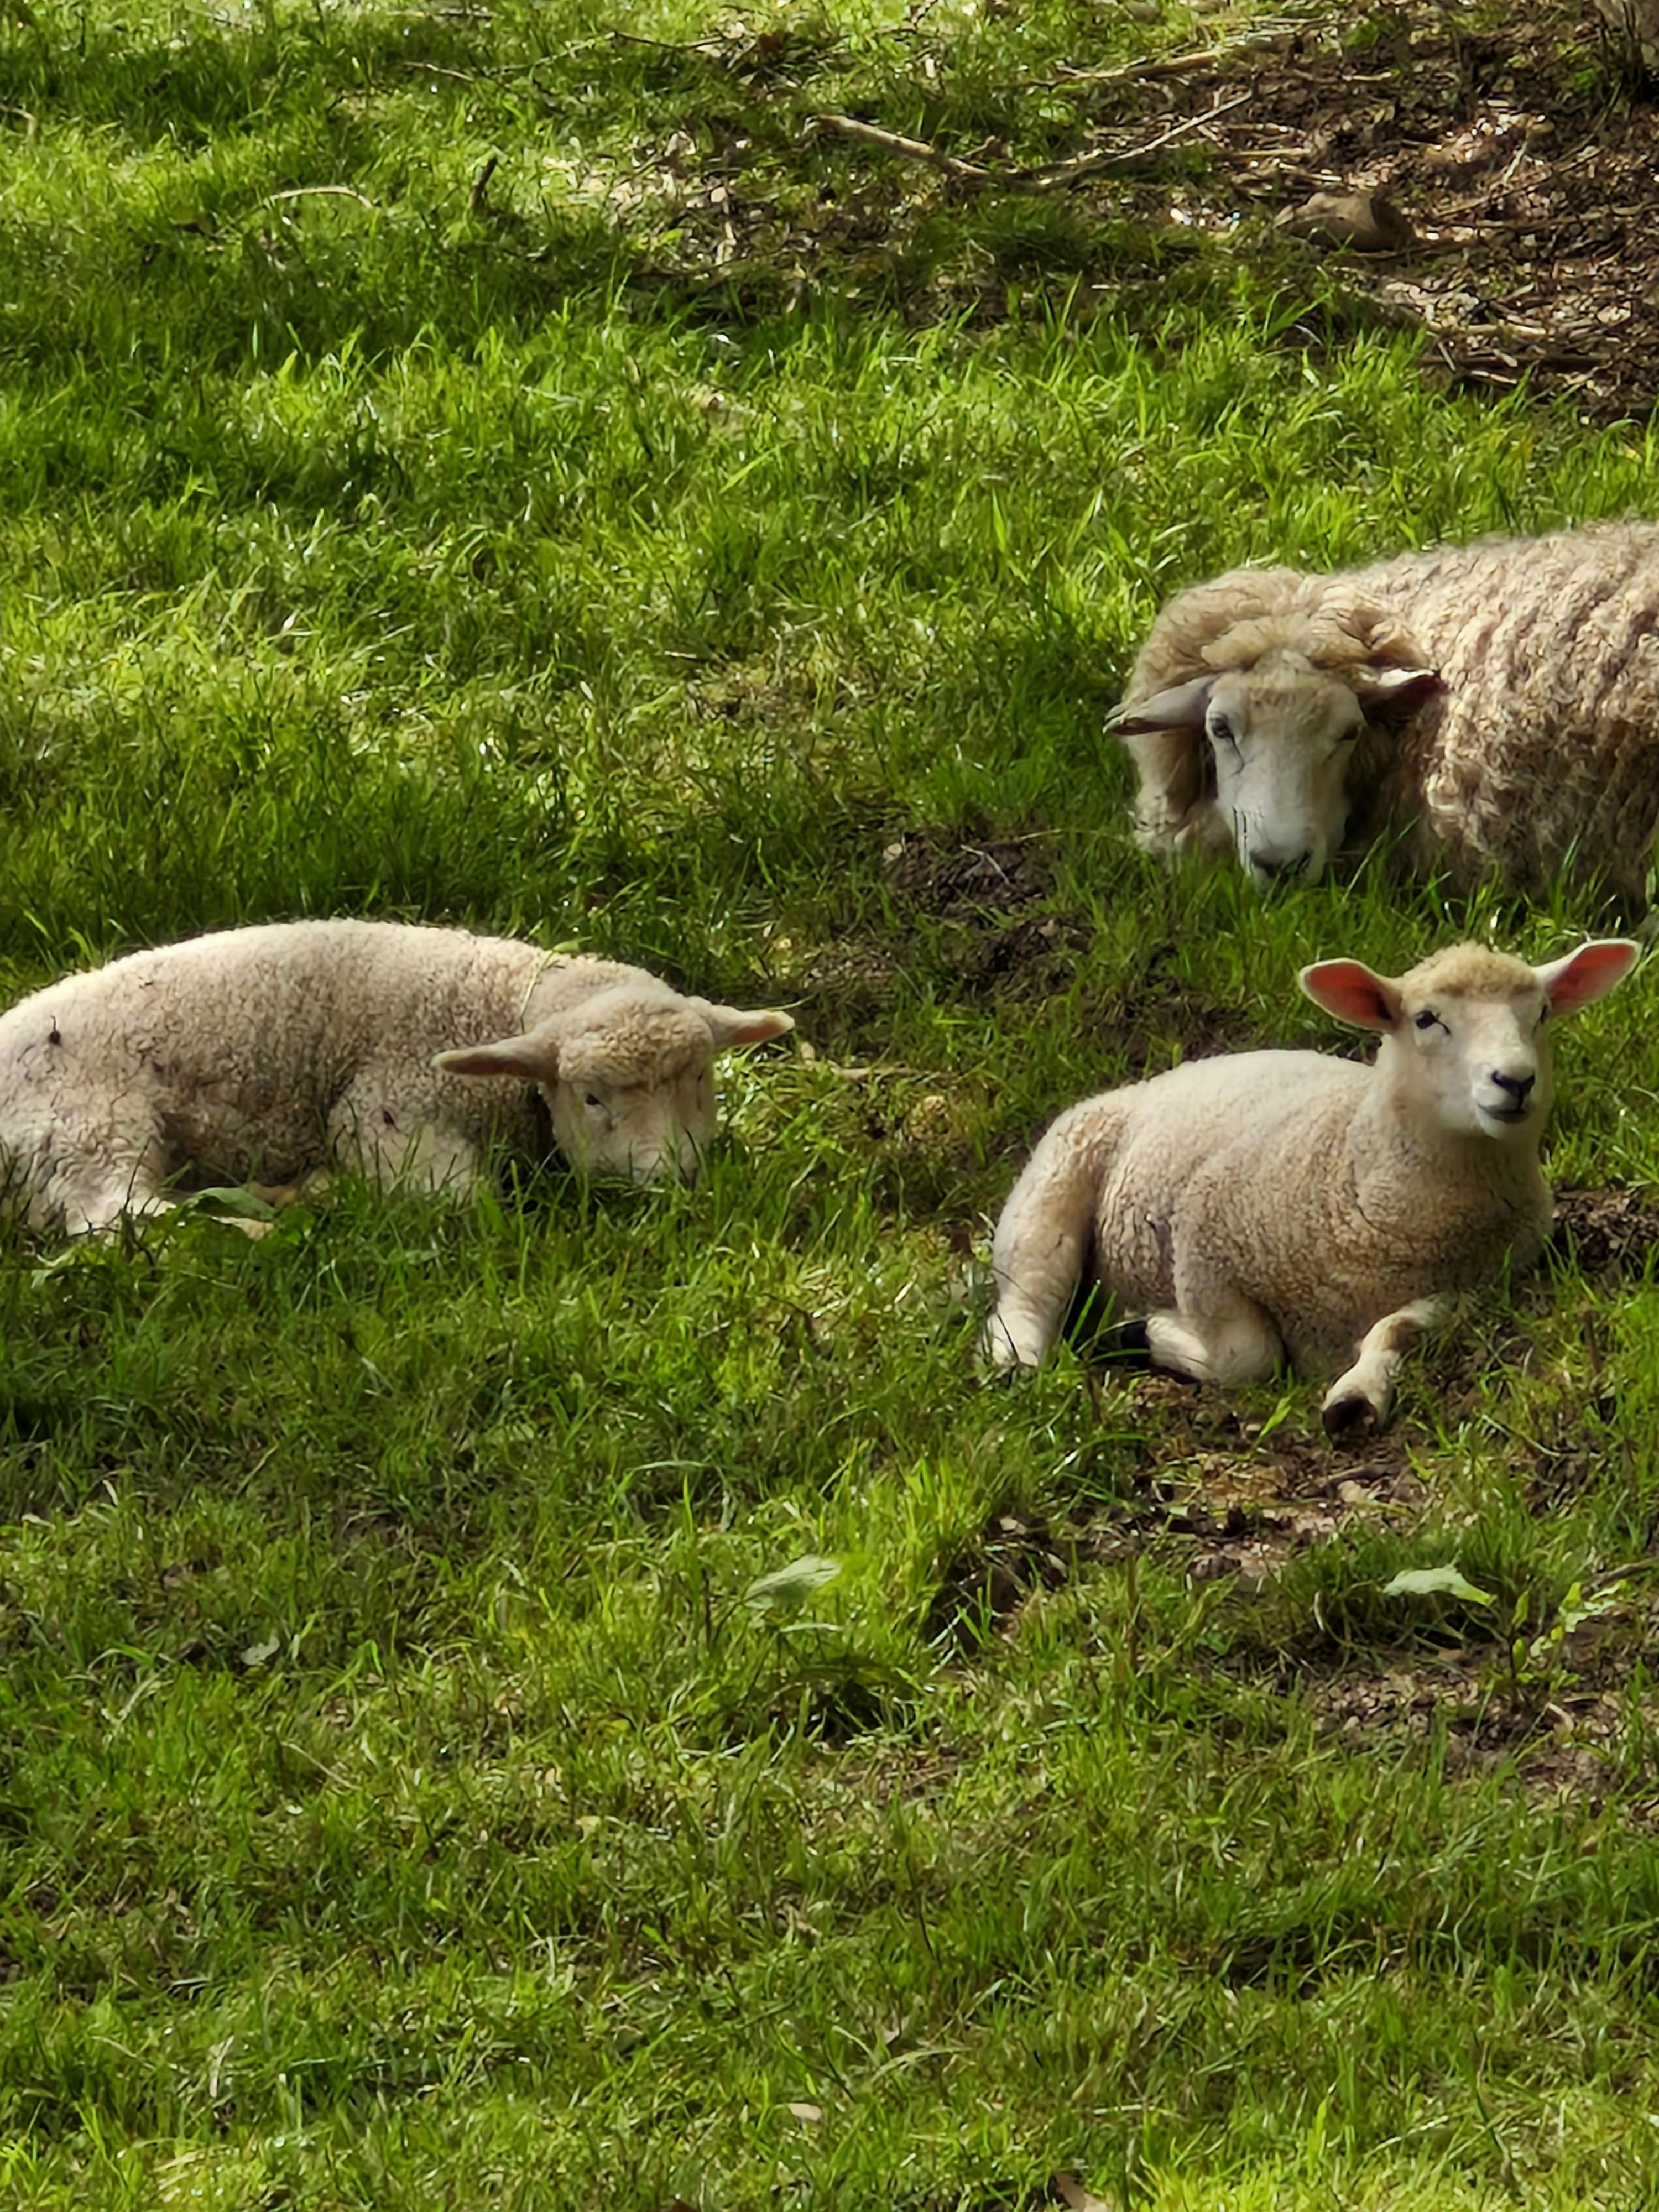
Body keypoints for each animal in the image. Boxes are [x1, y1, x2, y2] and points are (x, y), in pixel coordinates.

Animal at [0, 920, 795, 1236]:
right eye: (592, 1097)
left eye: (701, 1080)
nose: (673, 1180)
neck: (495, 1000)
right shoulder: (391, 1106)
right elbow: (466, 1202)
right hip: (85, 1124)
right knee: (121, 1219)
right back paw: (267, 1222)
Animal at [981, 936, 1639, 1434]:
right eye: (1427, 1019)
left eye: (1542, 1015)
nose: (1516, 1080)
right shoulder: (1203, 1246)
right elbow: (1251, 1356)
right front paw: (1145, 1332)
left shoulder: (1476, 1287)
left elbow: (1397, 1329)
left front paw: (1358, 1393)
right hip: (1057, 1179)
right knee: (1029, 1292)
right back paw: (1018, 1361)